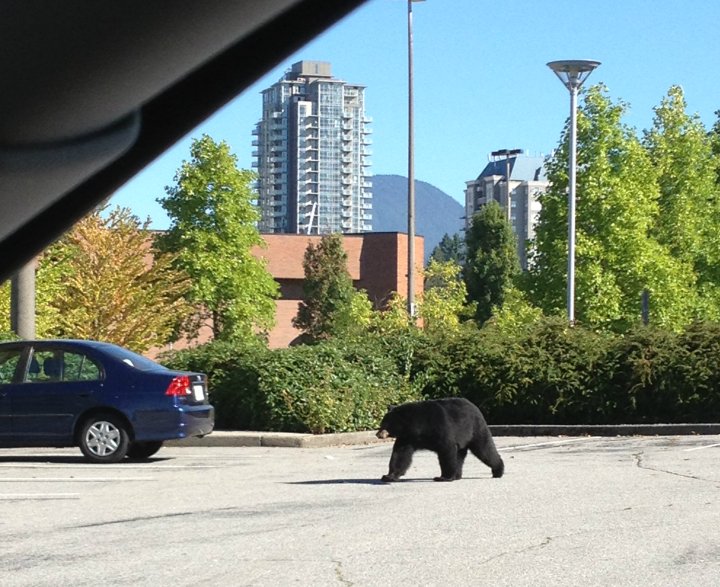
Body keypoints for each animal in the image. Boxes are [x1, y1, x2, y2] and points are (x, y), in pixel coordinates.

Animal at [376, 397, 504, 482]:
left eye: (385, 424)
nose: (377, 434)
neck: (419, 426)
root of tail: (475, 406)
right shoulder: (407, 438)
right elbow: (400, 454)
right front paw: (388, 476)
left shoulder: (440, 427)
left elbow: (446, 450)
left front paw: (444, 477)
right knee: (460, 456)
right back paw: (457, 475)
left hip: (475, 430)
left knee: (484, 449)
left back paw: (498, 471)